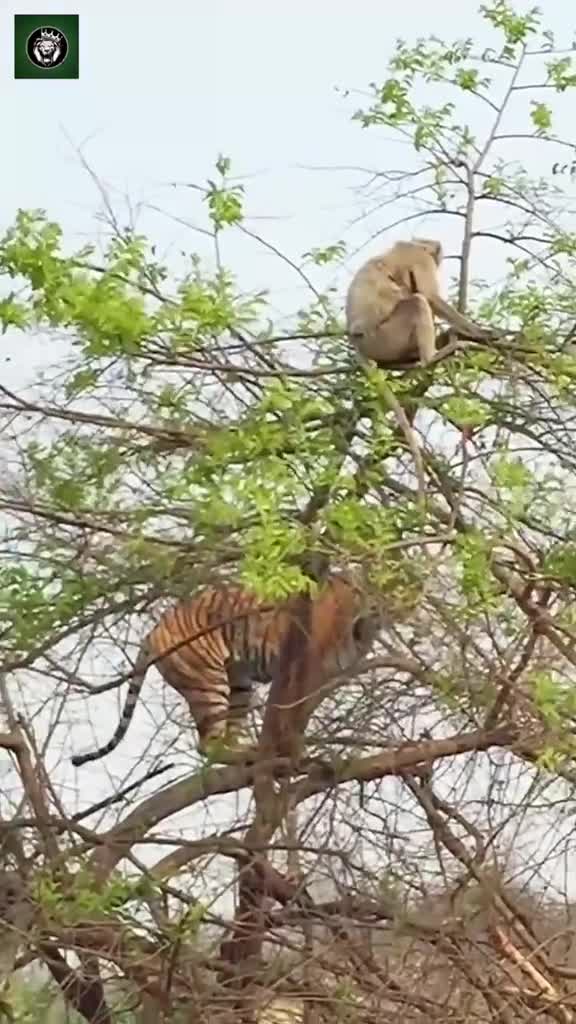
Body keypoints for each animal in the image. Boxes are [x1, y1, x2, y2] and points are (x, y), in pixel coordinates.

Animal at [71, 574, 381, 766]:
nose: (376, 612)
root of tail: (153, 631)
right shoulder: (307, 667)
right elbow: (293, 713)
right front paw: (295, 749)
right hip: (208, 680)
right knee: (208, 745)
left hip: (239, 683)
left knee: (227, 734)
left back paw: (250, 750)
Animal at [346, 239, 496, 368]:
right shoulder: (422, 258)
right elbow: (429, 296)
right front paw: (480, 331)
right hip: (382, 339)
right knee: (417, 302)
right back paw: (431, 358)